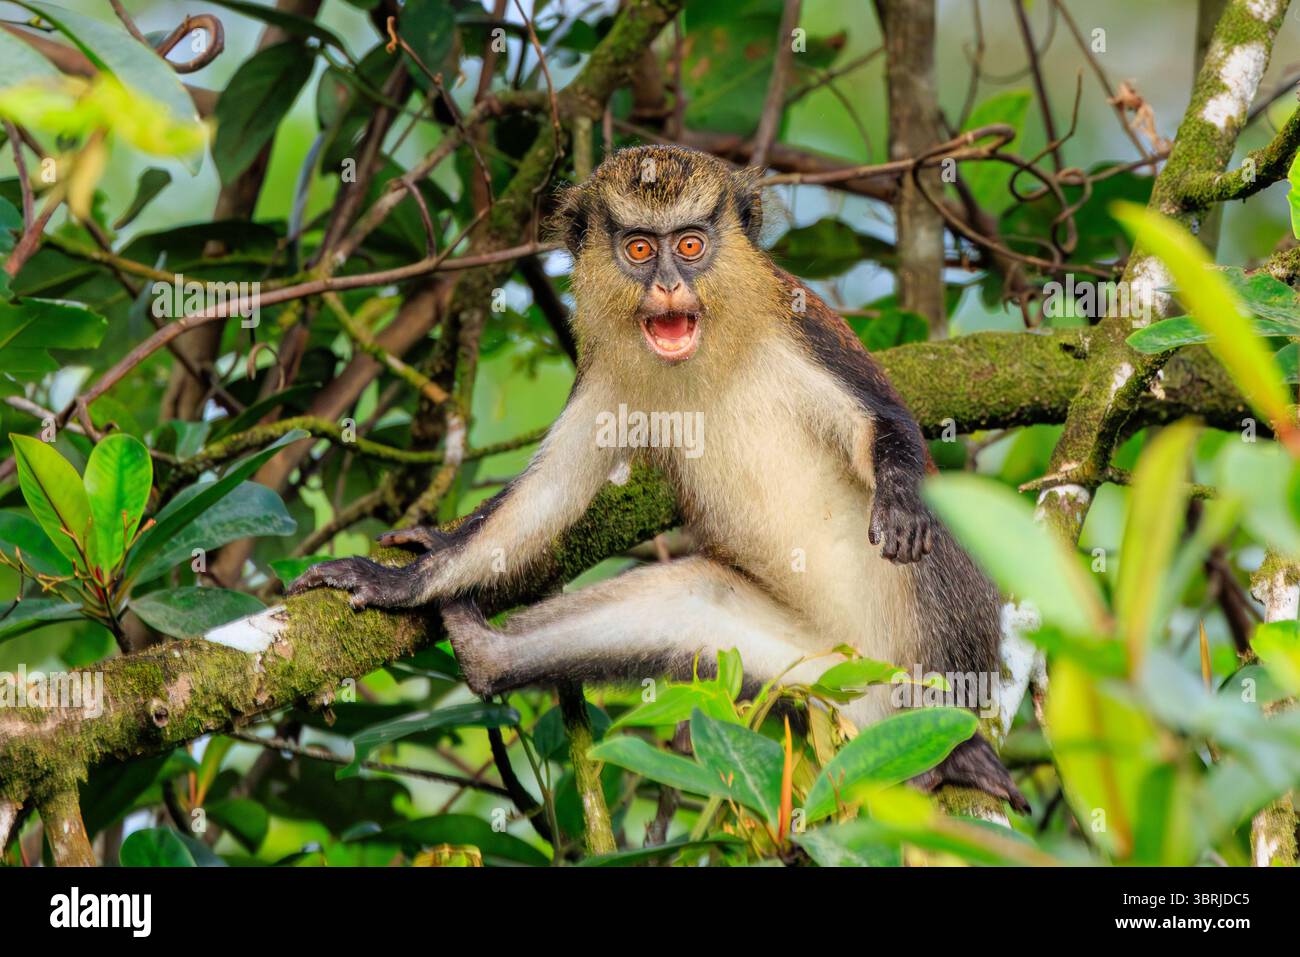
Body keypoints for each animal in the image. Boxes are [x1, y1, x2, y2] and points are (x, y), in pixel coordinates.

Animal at [290, 145, 1028, 812]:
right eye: (641, 249)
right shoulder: (604, 374)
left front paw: (899, 497)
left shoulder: (802, 331)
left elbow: (883, 425)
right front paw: (408, 577)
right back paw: (486, 652)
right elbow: (545, 495)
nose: (669, 285)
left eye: (692, 244)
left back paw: (960, 749)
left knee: (939, 540)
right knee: (692, 600)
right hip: (808, 667)